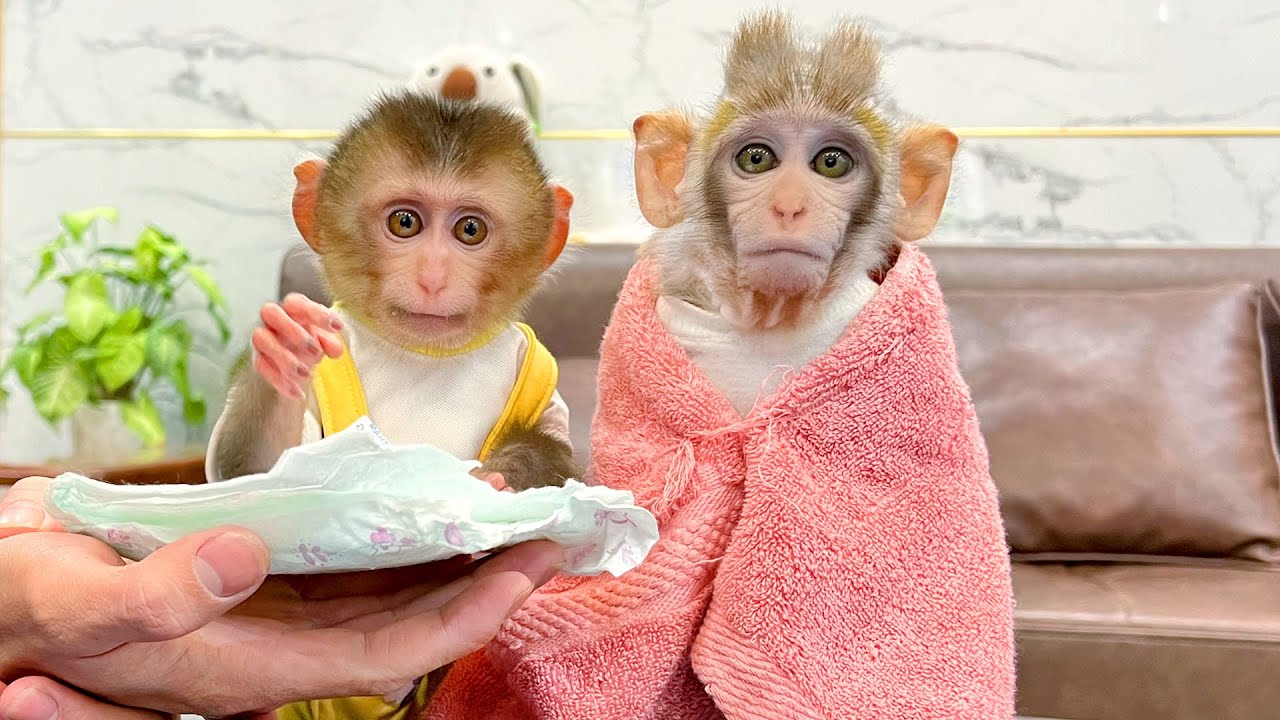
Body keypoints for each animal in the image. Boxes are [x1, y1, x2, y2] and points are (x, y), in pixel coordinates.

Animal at [205, 89, 580, 495]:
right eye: (405, 222)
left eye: (470, 229)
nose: (432, 277)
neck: (425, 354)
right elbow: (258, 473)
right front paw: (285, 352)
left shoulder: (544, 385)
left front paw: (508, 472)